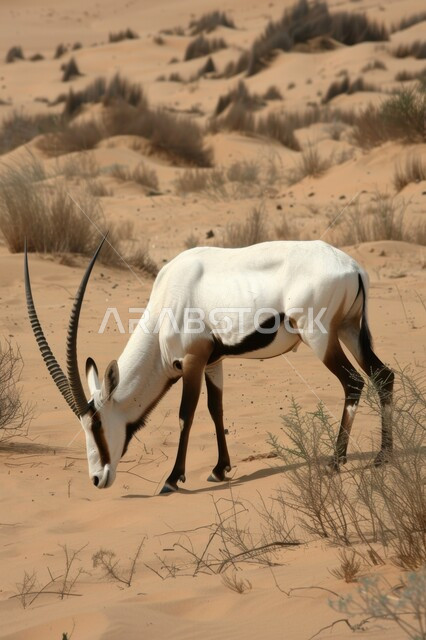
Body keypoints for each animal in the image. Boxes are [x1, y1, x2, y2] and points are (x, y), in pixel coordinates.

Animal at [25, 239, 394, 494]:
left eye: (98, 424)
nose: (98, 478)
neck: (166, 301)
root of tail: (352, 267)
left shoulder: (192, 360)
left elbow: (185, 414)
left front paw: (173, 479)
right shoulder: (213, 362)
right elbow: (216, 409)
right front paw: (219, 469)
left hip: (320, 337)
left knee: (354, 383)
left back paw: (336, 462)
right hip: (349, 331)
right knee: (383, 376)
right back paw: (383, 457)